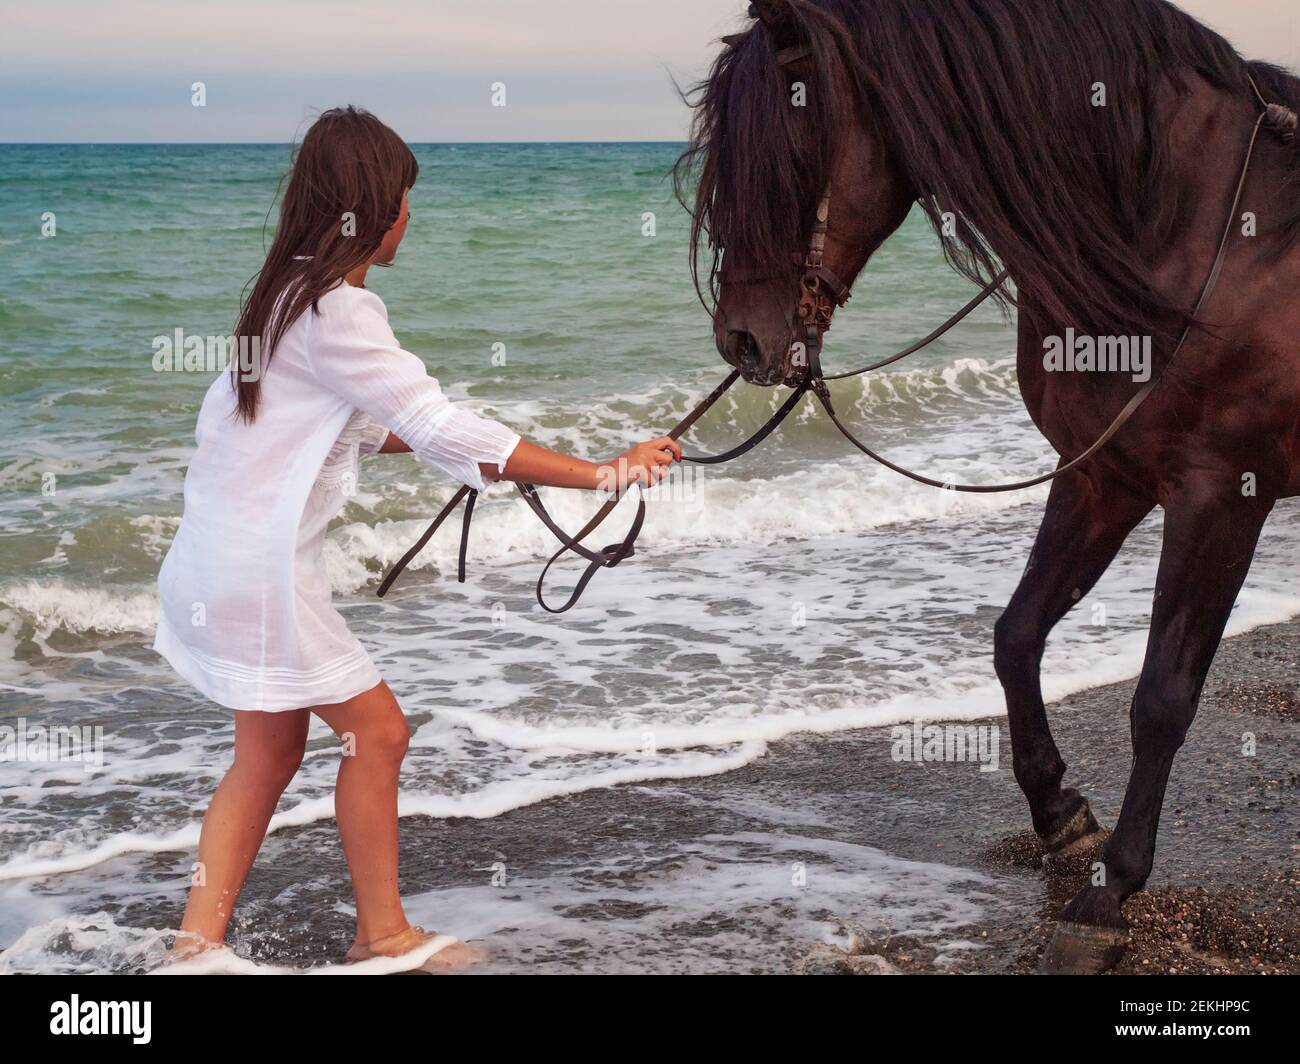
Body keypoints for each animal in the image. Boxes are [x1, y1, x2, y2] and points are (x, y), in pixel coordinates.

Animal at [676, 0, 1300, 973]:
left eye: (787, 138)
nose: (741, 338)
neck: (1205, 235)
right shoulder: (1103, 477)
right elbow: (1016, 636)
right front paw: (1062, 818)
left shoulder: (1219, 496)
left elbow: (1162, 697)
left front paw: (1111, 891)